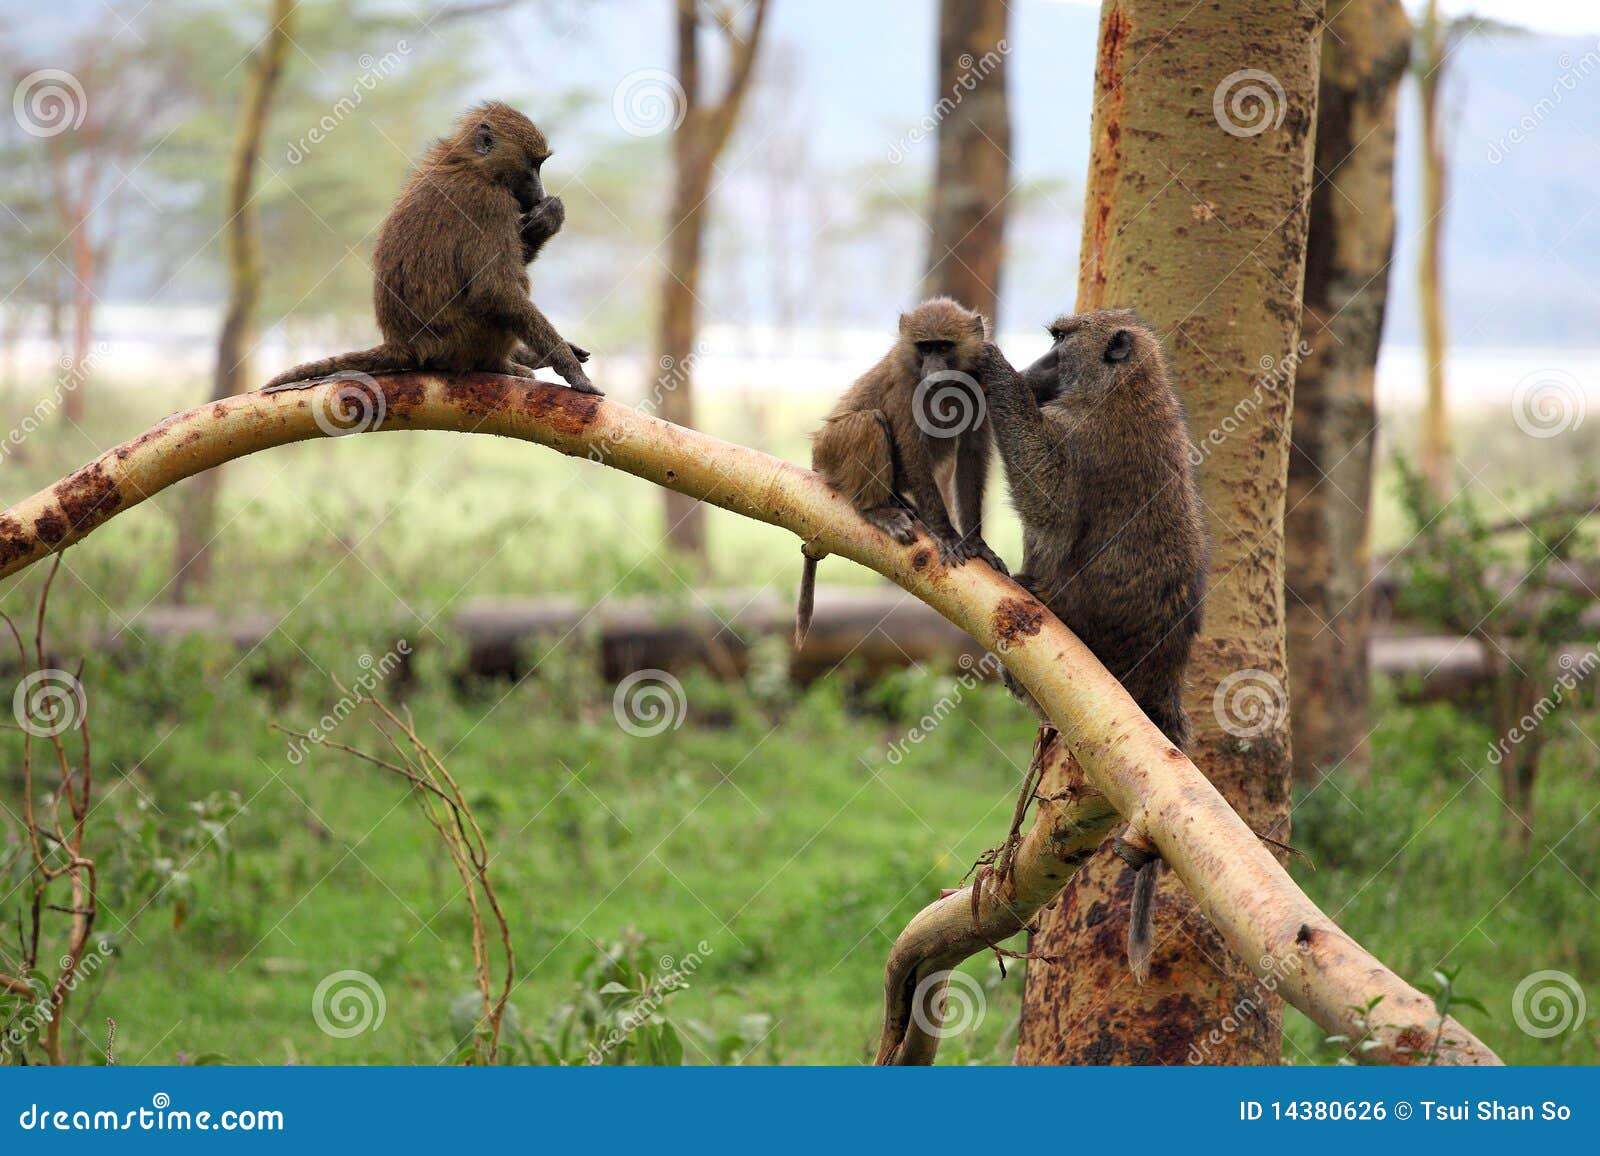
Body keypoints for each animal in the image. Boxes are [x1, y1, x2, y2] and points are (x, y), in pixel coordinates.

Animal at [265, 101, 597, 394]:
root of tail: (402, 345)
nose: (539, 194)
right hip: (462, 341)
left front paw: (547, 217)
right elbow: (494, 290)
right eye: (534, 164)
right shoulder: (490, 203)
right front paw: (571, 370)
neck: (472, 165)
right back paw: (502, 364)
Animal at [794, 297, 1007, 647]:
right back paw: (878, 510)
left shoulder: (977, 380)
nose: (933, 373)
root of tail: (817, 459)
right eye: (925, 348)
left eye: (944, 346)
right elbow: (912, 447)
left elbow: (971, 453)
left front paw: (977, 542)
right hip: (831, 451)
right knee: (869, 422)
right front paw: (946, 534)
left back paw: (899, 501)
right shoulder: (906, 386)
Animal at [975, 309, 1209, 983]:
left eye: (1058, 340)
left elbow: (1050, 496)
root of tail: (1165, 671)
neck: (1123, 386)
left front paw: (992, 367)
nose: (1031, 371)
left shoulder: (1087, 440)